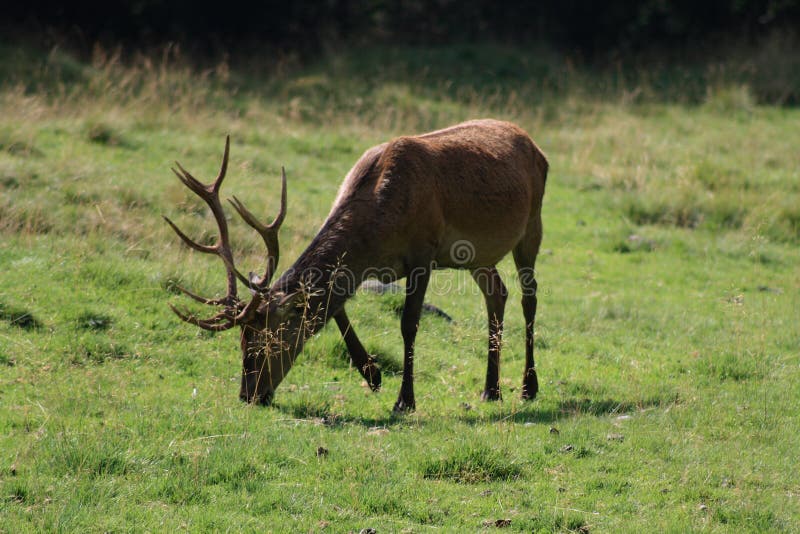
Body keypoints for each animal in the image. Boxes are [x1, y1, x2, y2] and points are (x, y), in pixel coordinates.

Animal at [163, 119, 548, 412]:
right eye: (242, 341)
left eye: (266, 341)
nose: (248, 394)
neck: (377, 226)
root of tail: (533, 142)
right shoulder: (366, 267)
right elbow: (336, 307)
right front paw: (372, 374)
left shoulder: (424, 251)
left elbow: (409, 323)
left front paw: (404, 400)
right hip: (477, 256)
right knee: (497, 294)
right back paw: (491, 389)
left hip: (533, 223)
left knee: (529, 297)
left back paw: (528, 387)